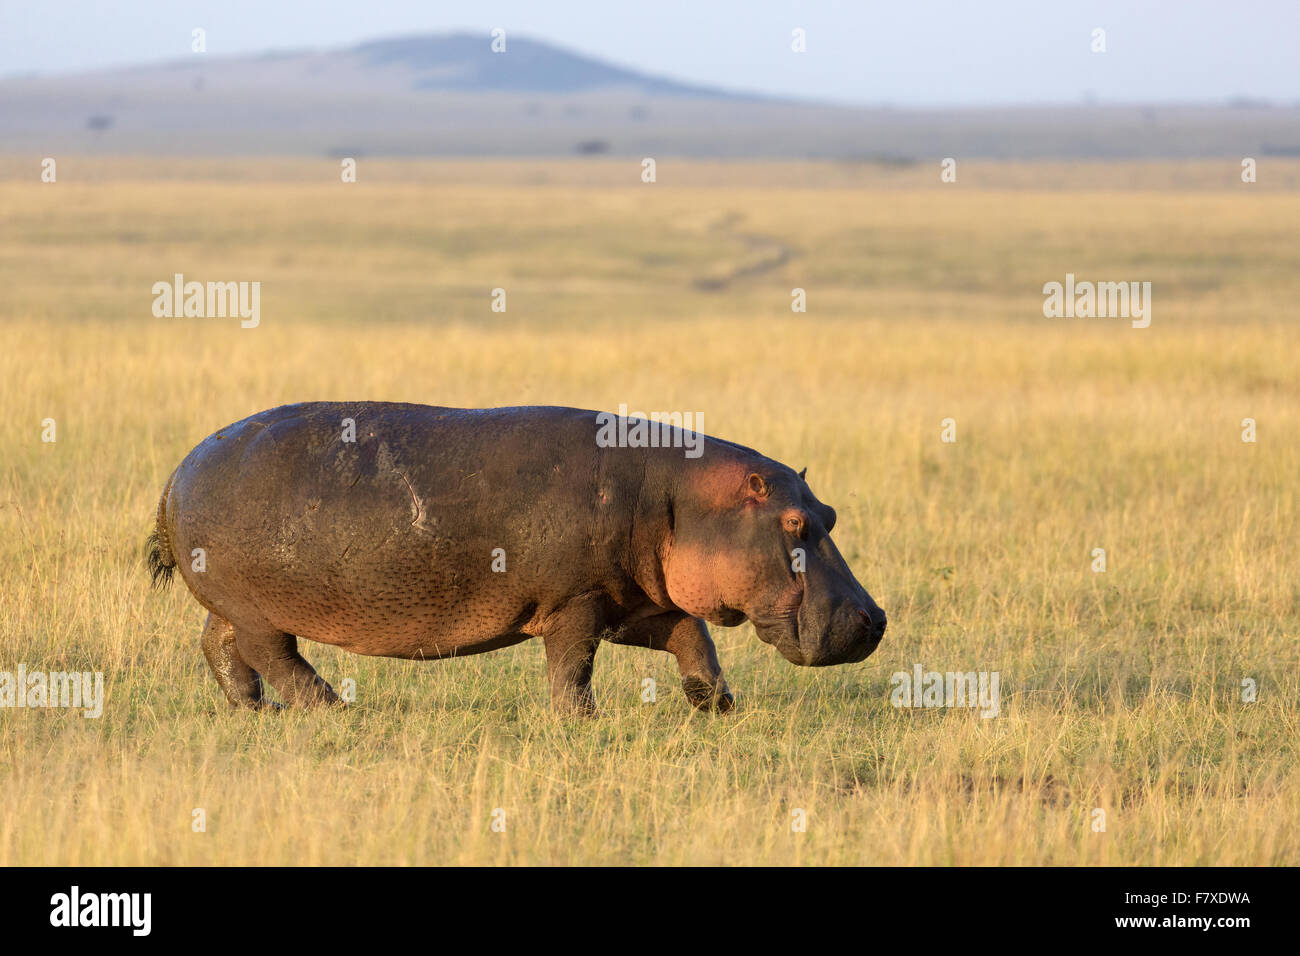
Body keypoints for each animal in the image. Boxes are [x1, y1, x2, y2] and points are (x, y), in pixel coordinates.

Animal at [146, 403, 886, 714]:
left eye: (830, 514)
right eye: (794, 523)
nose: (874, 620)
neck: (684, 496)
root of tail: (177, 470)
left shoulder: (634, 598)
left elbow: (690, 636)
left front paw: (717, 705)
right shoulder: (578, 601)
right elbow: (573, 664)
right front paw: (579, 720)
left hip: (235, 601)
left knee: (220, 644)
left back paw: (255, 710)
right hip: (259, 607)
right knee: (274, 653)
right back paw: (329, 707)